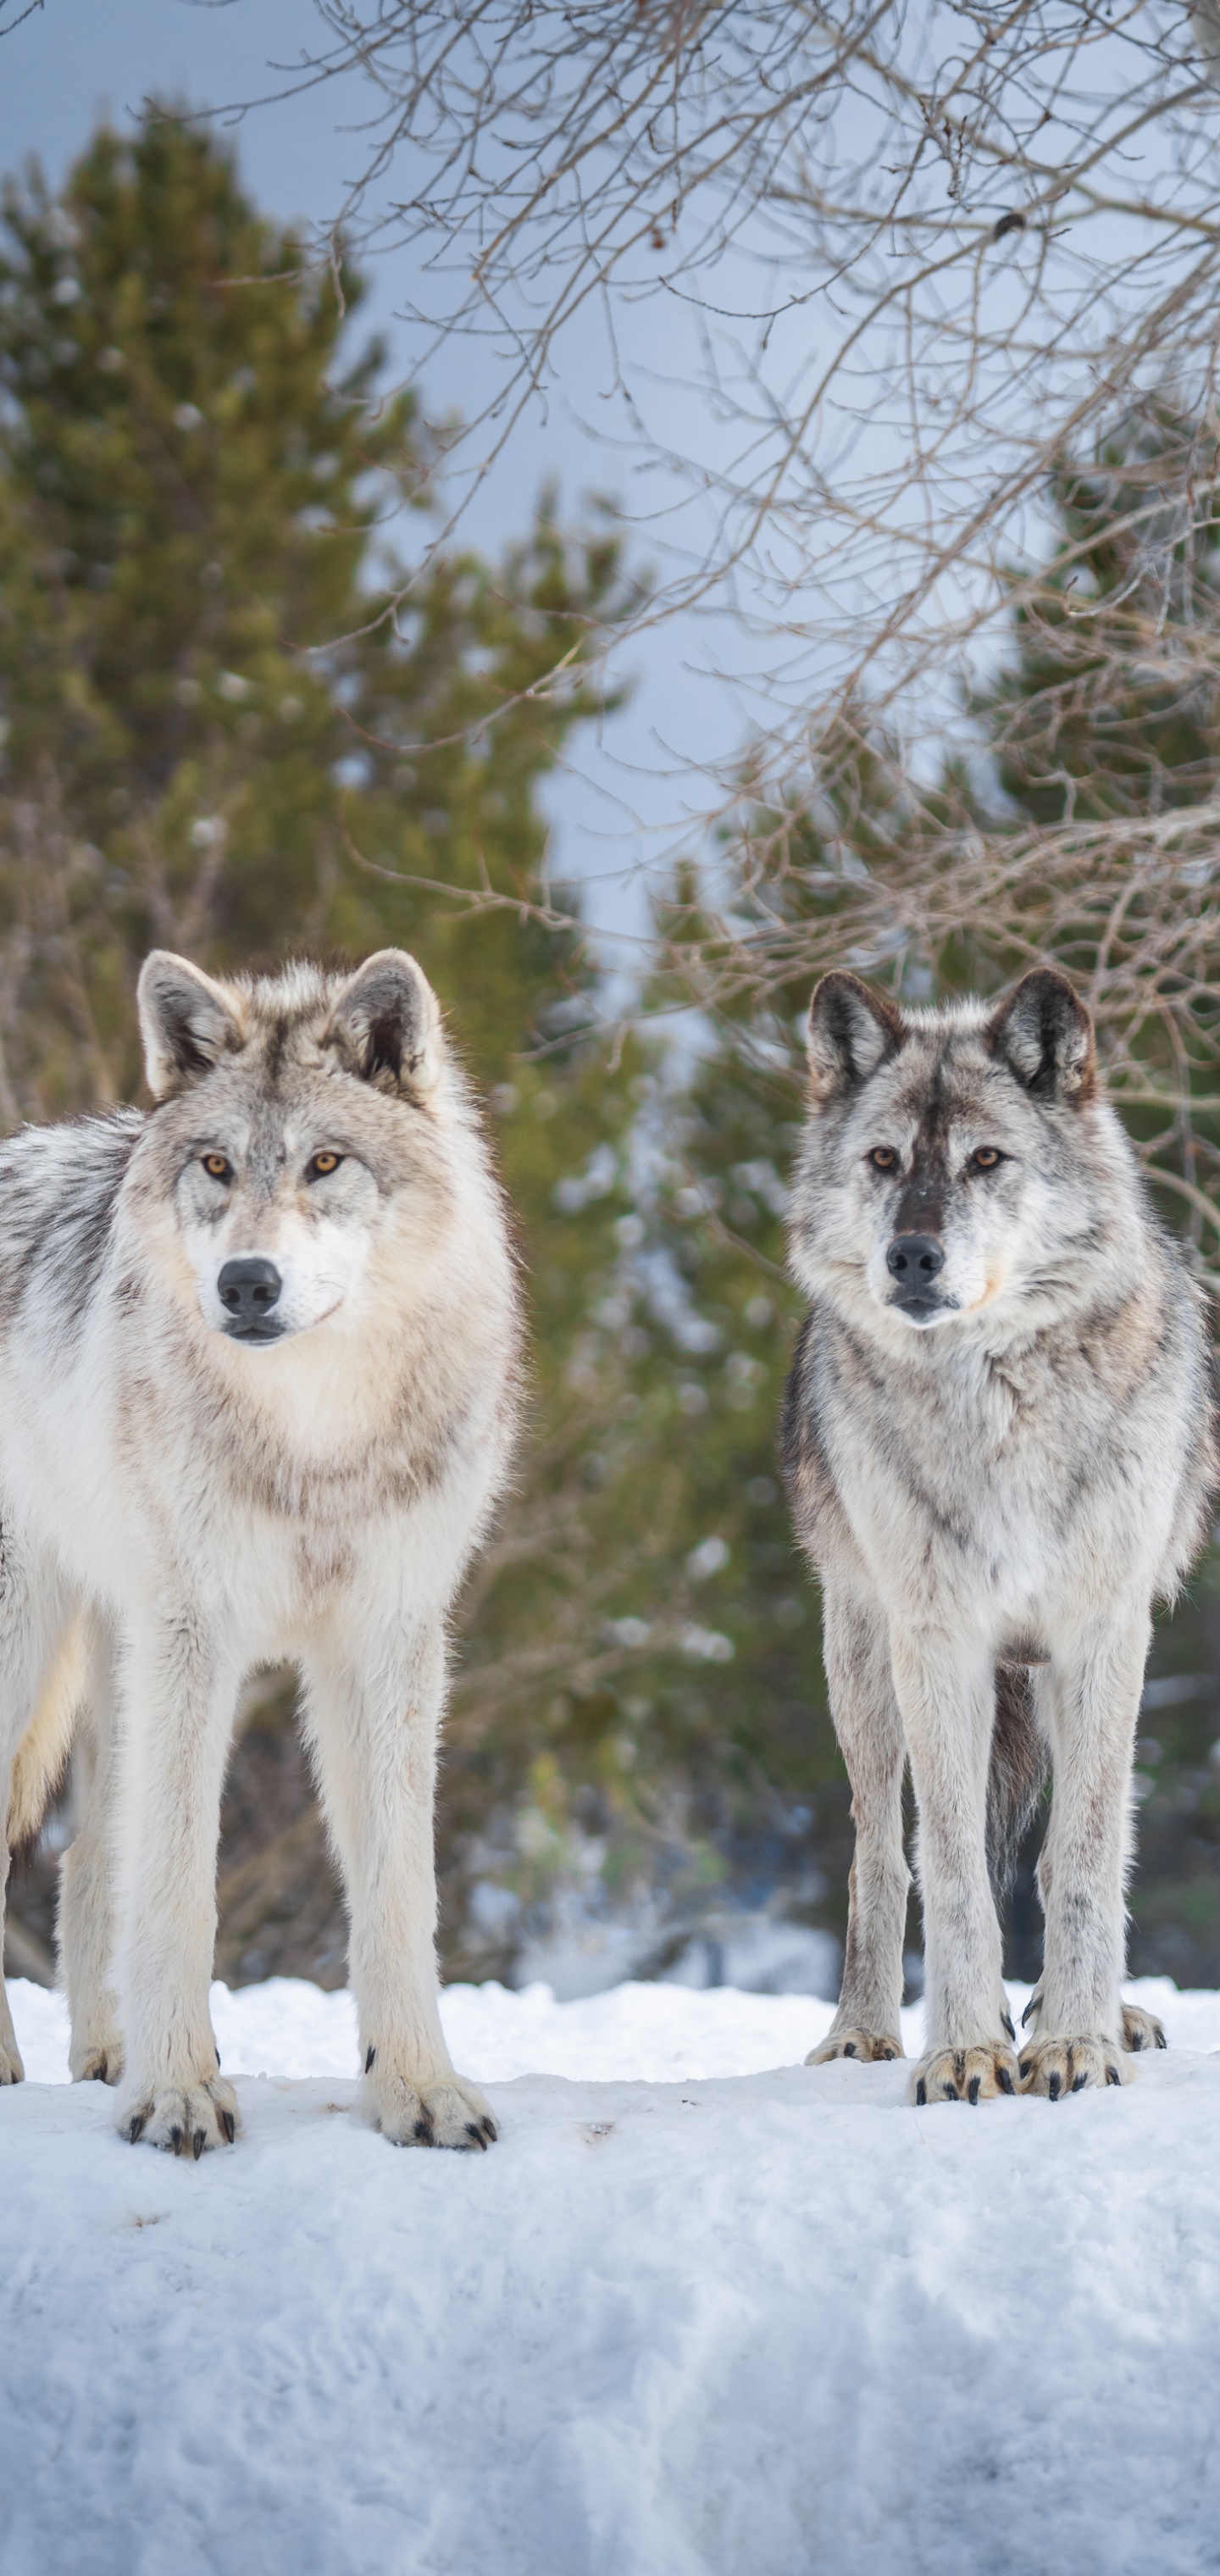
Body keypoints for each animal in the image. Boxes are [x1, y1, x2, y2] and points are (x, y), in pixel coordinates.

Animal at [0, 947, 521, 2154]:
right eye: (216, 1164)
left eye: (326, 1162)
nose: (245, 1282)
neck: (314, 1438)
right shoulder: (198, 1637)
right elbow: (181, 1885)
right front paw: (179, 2094)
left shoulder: (387, 1642)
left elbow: (397, 1895)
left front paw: (418, 2091)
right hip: (35, 1652)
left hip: (115, 1659)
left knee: (89, 1856)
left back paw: (102, 2058)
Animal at [782, 966, 1216, 2102]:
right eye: (885, 1161)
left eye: (986, 1159)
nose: (911, 1255)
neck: (997, 1403)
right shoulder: (940, 1642)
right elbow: (951, 1870)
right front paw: (966, 2050)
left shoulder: (1102, 1633)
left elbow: (1087, 1853)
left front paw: (1075, 2042)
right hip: (862, 1664)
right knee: (878, 1853)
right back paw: (862, 2031)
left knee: (1085, 1846)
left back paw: (1108, 2014)